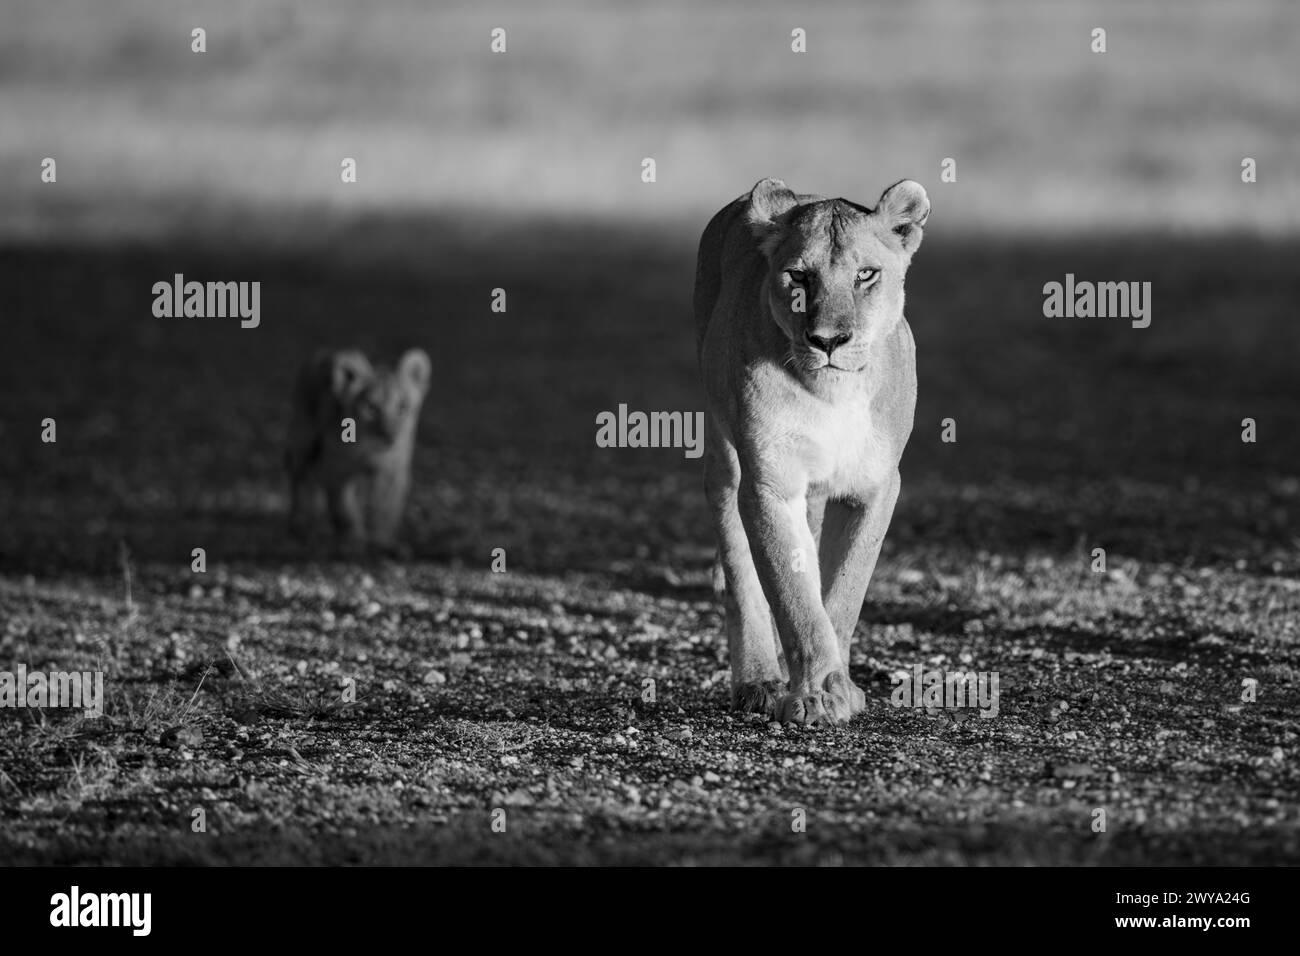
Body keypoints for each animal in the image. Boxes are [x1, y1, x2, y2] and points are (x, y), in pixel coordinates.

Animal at [285, 348, 431, 555]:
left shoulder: (391, 470)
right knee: (299, 477)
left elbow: (385, 508)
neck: (369, 450)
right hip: (303, 439)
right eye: (371, 407)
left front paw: (381, 541)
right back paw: (300, 523)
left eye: (403, 406)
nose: (389, 436)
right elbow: (343, 508)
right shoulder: (336, 468)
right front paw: (353, 541)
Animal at [694, 177, 930, 725]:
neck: (832, 391)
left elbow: (843, 591)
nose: (828, 340)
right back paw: (758, 681)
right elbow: (794, 596)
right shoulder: (769, 486)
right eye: (798, 275)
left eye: (866, 274)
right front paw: (818, 694)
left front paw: (837, 684)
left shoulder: (877, 486)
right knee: (740, 572)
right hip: (724, 459)